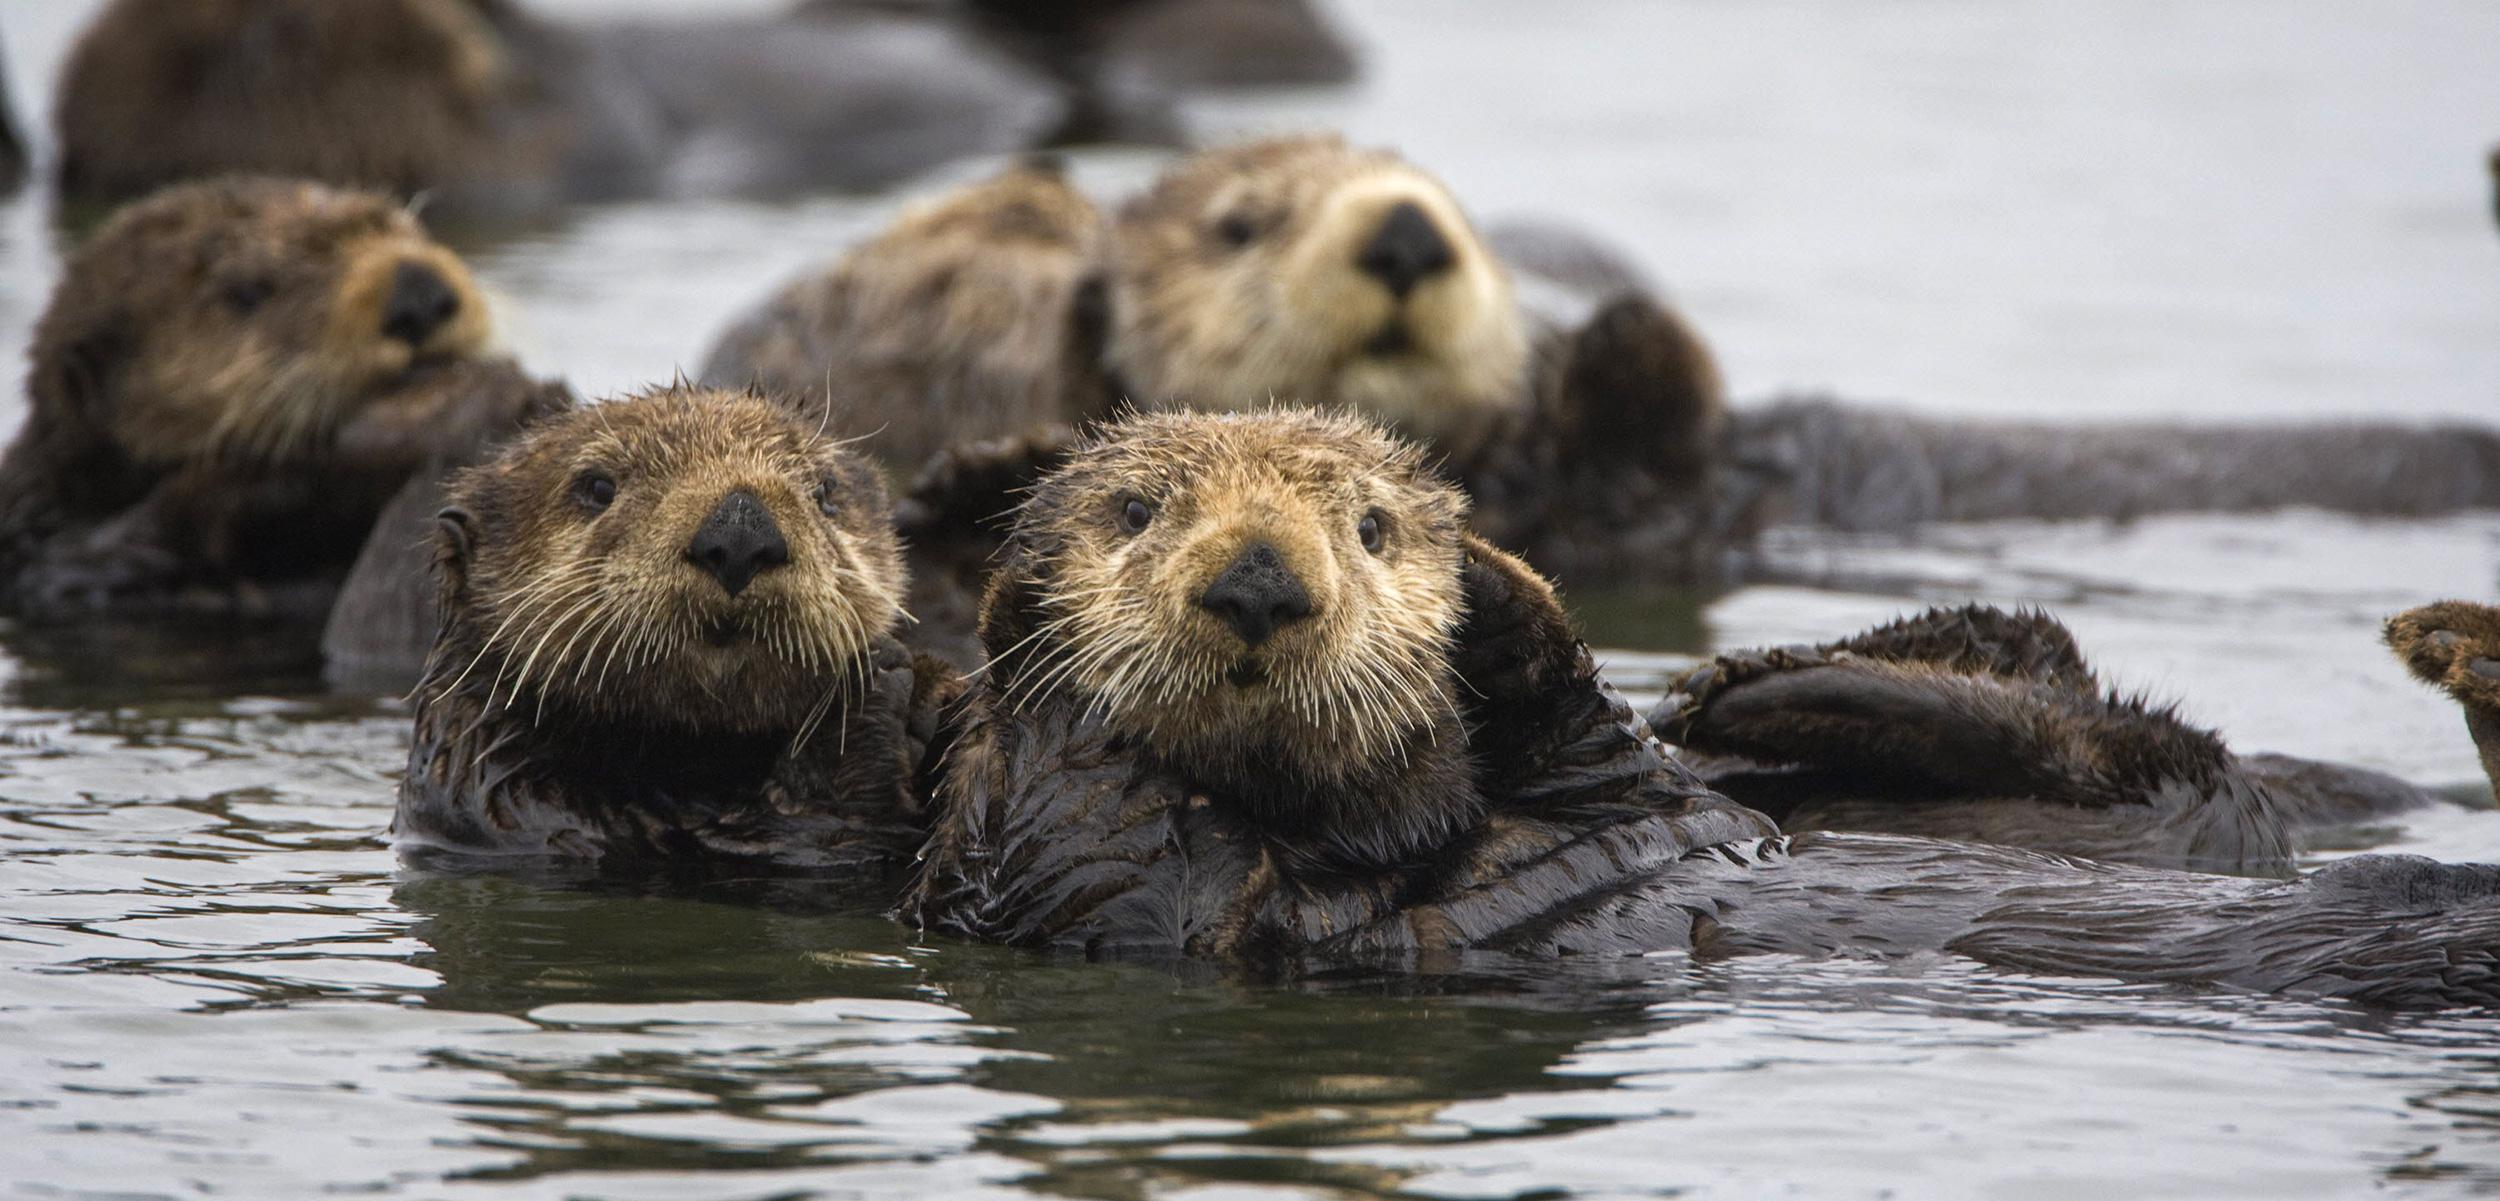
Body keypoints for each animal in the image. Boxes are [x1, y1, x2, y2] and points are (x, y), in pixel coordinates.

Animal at [395, 384, 950, 879]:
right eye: (597, 487)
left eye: (825, 491)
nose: (741, 531)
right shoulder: (514, 806)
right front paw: (866, 704)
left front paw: (932, 689)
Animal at [905, 409, 2500, 1009]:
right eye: (1133, 512)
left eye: (1368, 527)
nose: (1256, 576)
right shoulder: (1120, 892)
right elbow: (1093, 819)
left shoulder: (1610, 787)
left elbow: (1602, 743)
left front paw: (1497, 585)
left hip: (2105, 763)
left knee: (2079, 700)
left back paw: (1750, 691)